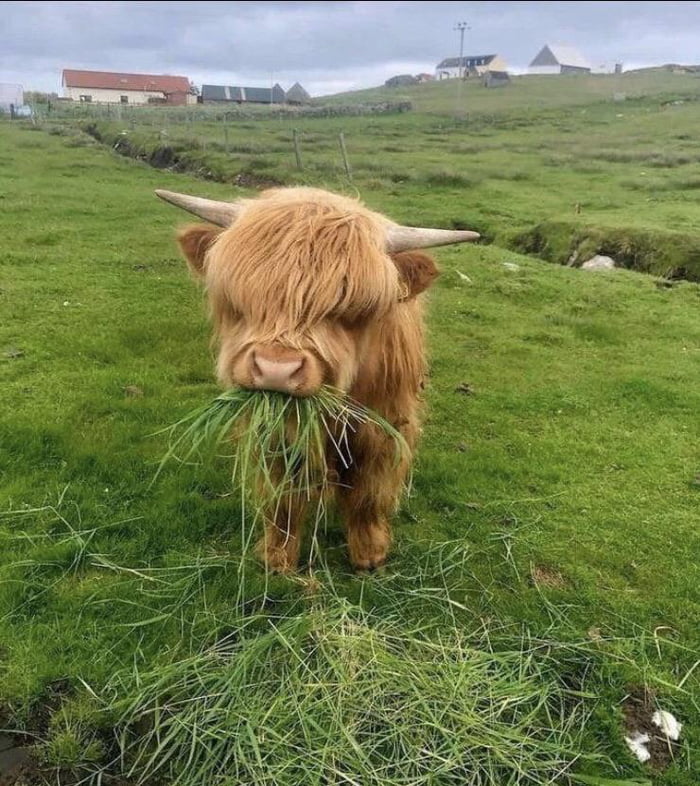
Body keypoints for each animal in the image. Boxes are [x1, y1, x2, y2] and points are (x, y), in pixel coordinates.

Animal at [156, 187, 478, 572]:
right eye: (241, 299)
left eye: (352, 309)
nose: (276, 369)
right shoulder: (276, 432)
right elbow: (283, 496)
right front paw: (277, 557)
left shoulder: (383, 425)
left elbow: (369, 491)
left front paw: (369, 554)